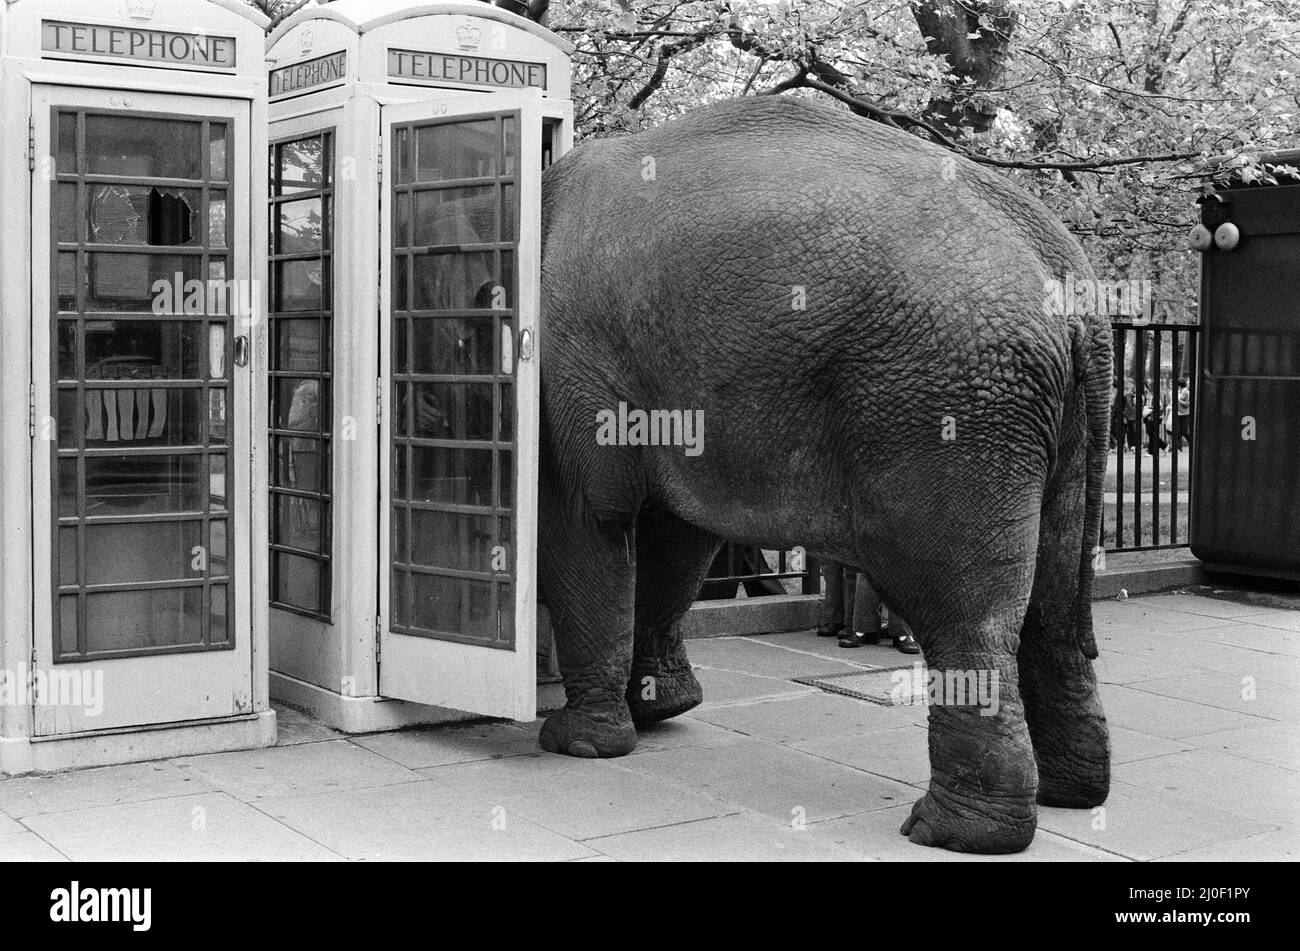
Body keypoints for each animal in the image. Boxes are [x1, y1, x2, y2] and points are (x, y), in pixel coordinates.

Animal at [533, 94, 1113, 854]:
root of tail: (1067, 279)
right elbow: (673, 538)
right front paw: (656, 709)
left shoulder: (572, 365)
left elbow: (586, 518)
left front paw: (579, 743)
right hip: (1055, 422)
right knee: (1055, 604)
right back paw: (1073, 795)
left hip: (952, 410)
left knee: (968, 611)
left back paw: (952, 832)